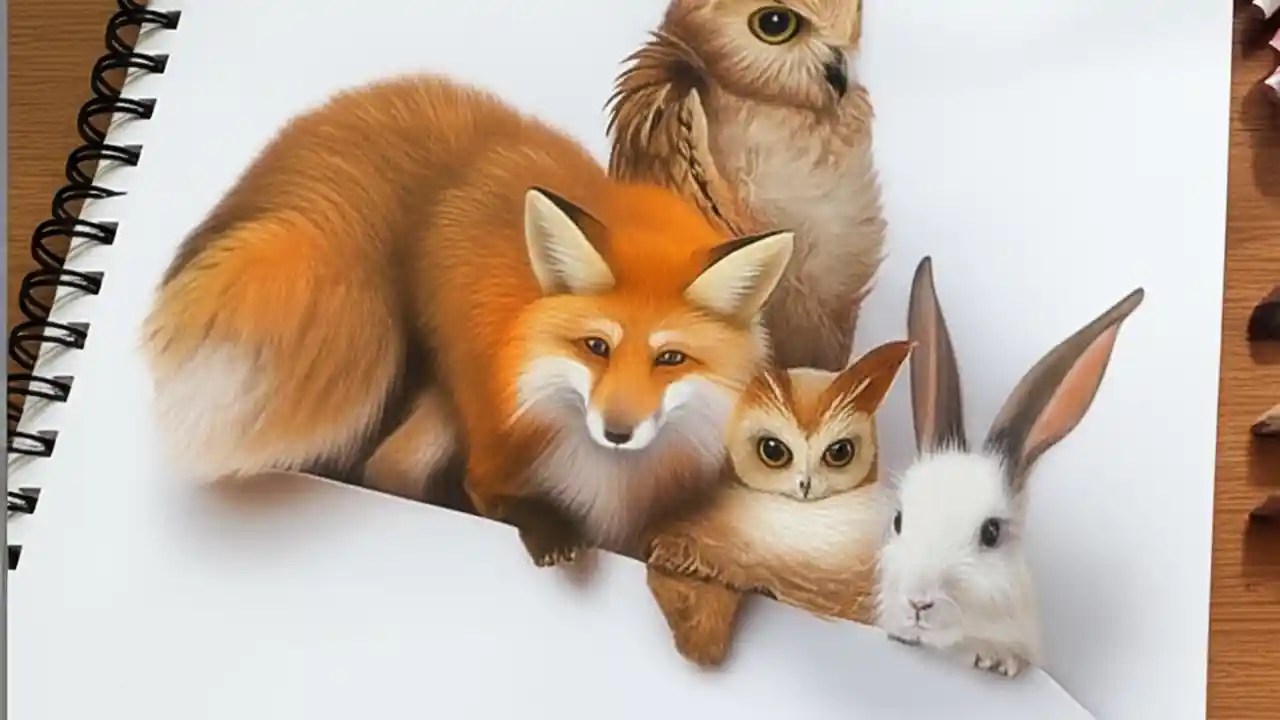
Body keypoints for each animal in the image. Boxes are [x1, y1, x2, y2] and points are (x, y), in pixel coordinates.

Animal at [141, 74, 796, 565]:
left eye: (670, 358)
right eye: (596, 347)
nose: (617, 431)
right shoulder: (494, 451)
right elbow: (490, 495)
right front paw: (550, 530)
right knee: (389, 467)